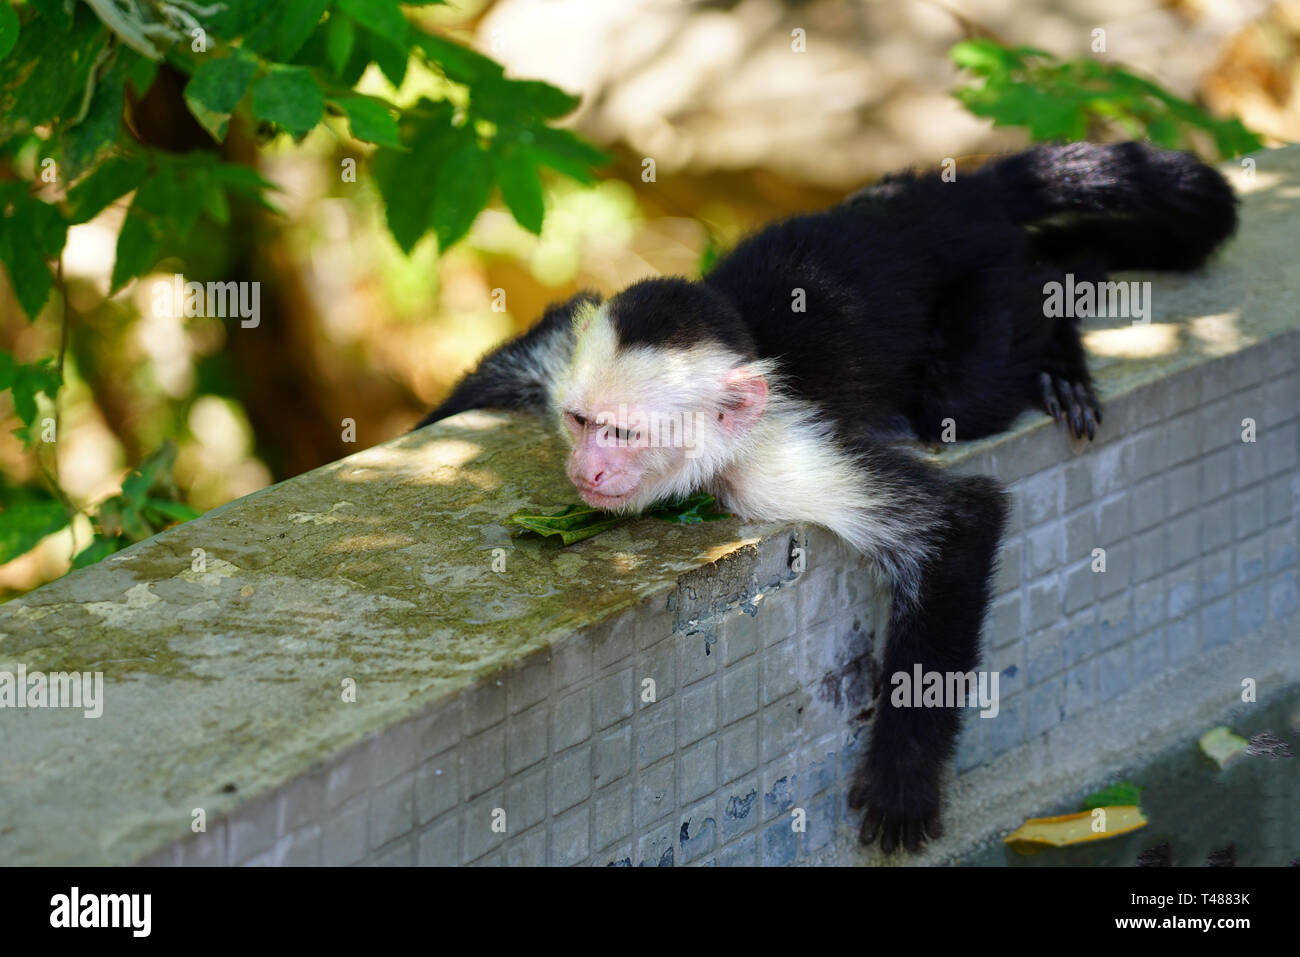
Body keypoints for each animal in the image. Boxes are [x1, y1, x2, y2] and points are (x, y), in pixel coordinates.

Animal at [417, 141, 1238, 854]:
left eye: (622, 433)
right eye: (581, 422)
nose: (585, 472)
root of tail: (936, 197)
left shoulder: (780, 461)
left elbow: (958, 522)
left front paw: (904, 782)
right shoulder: (567, 359)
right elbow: (504, 369)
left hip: (982, 281)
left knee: (960, 392)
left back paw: (1061, 332)